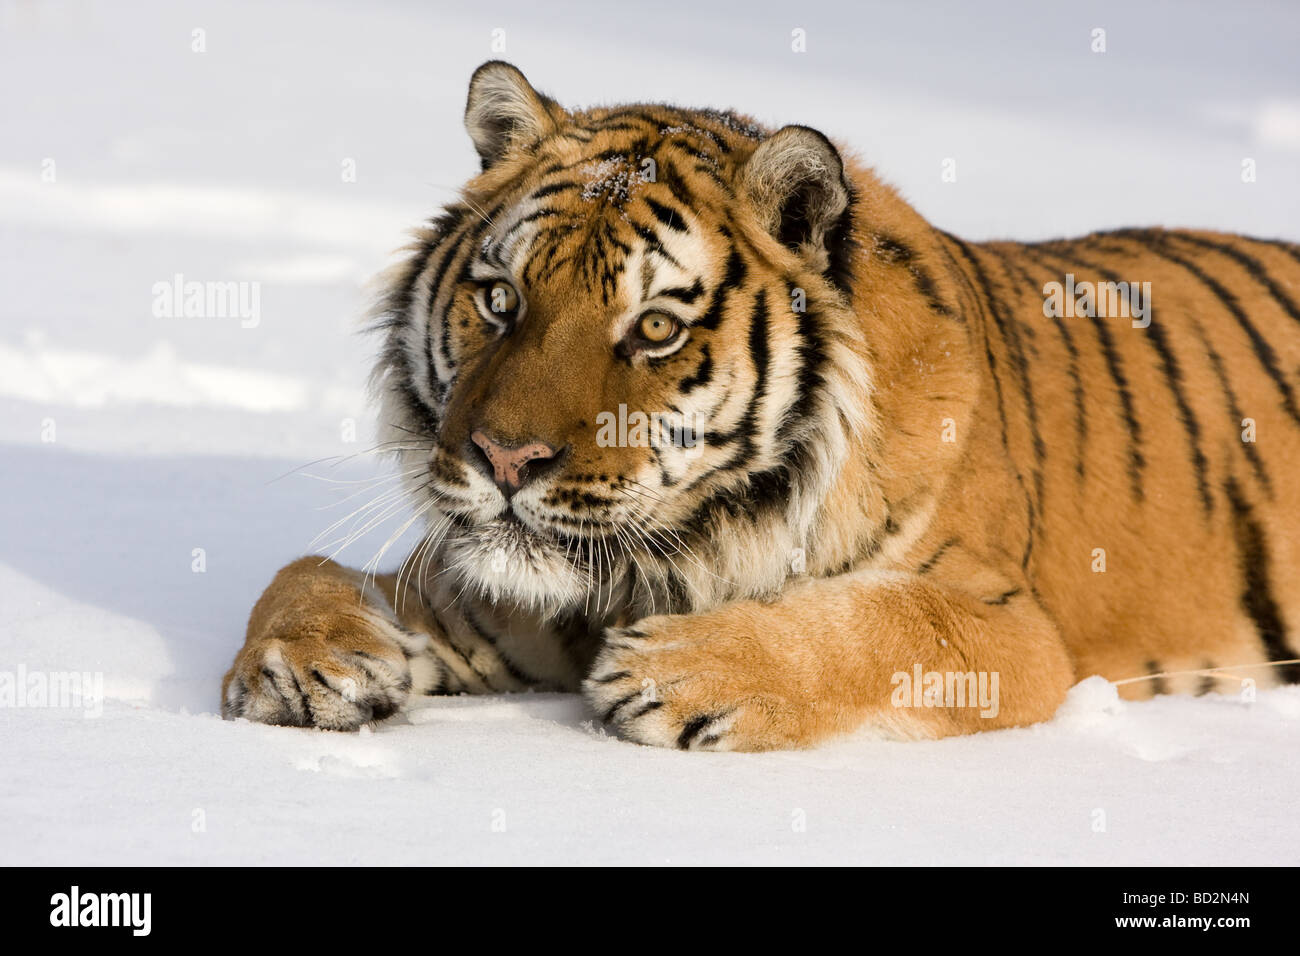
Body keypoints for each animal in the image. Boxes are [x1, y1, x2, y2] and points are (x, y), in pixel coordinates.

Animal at [221, 61, 1300, 751]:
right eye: (500, 300)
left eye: (655, 328)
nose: (503, 459)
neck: (652, 568)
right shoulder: (495, 593)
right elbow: (306, 566)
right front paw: (302, 659)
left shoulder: (1014, 631)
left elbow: (880, 621)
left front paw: (680, 672)